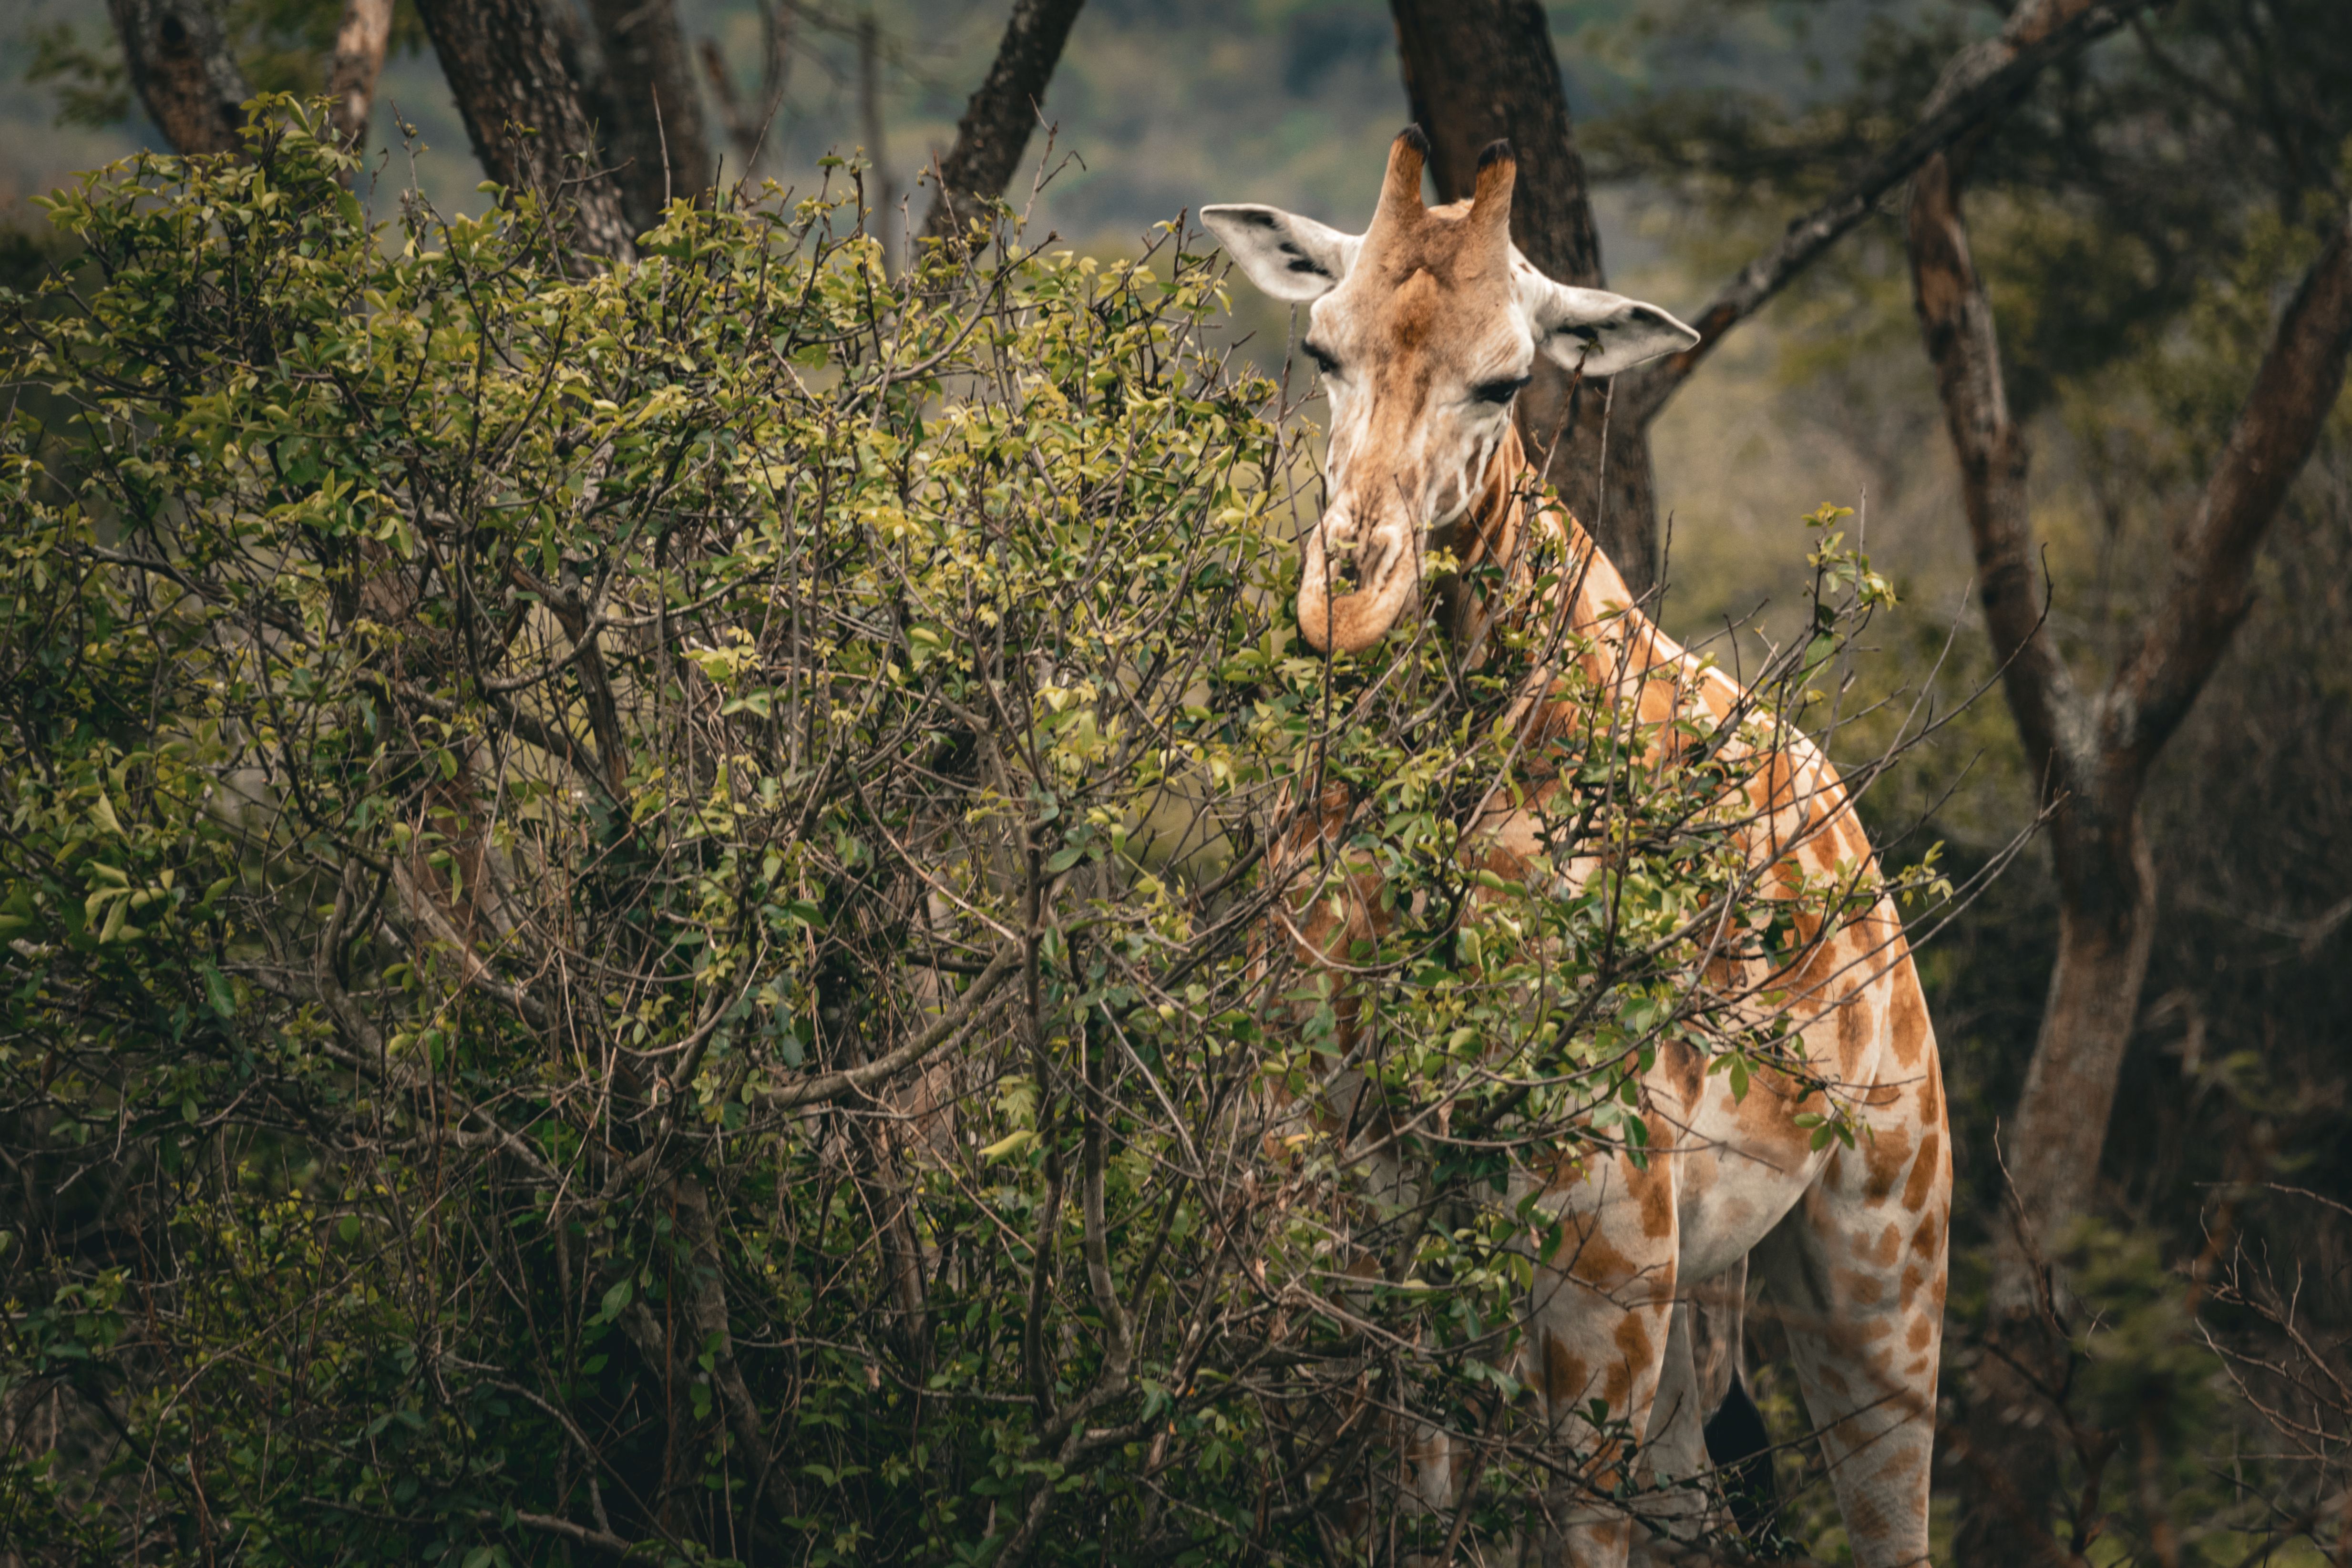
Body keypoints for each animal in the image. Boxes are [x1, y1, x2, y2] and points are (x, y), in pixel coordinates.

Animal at [1204, 129, 1951, 1567]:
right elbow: (1409, 1494)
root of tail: (1858, 851)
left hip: (1883, 1233)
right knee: (1687, 1493)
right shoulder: (1338, 1175)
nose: (1350, 587)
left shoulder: (1602, 1227)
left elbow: (1576, 1523)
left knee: (1882, 1507)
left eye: (1506, 379)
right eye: (1318, 346)